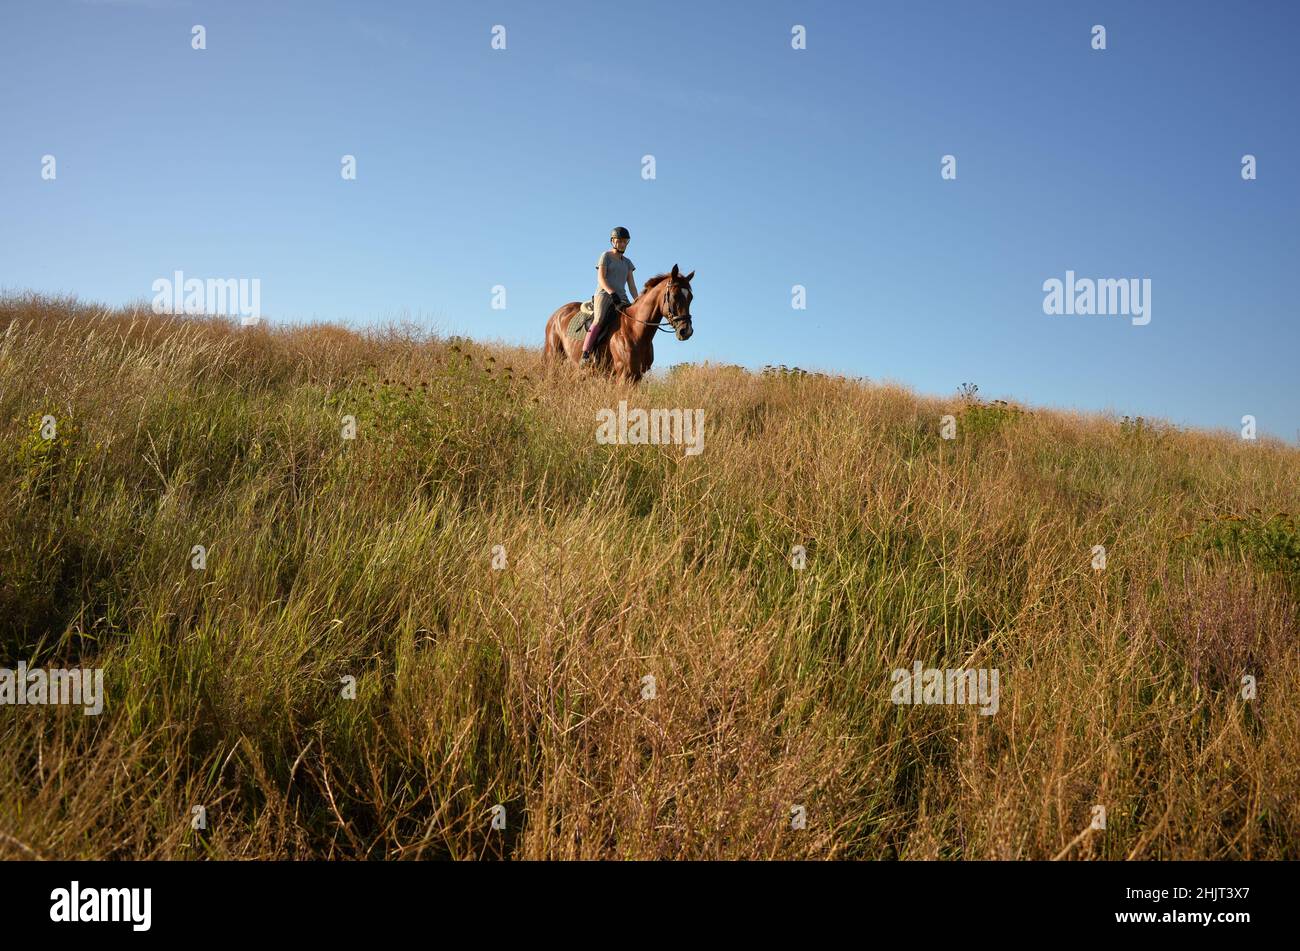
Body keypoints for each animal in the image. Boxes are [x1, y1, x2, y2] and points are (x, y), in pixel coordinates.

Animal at [544, 264, 694, 383]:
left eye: (691, 297)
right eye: (674, 296)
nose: (686, 331)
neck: (635, 329)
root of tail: (557, 314)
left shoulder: (637, 376)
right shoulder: (624, 375)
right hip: (554, 357)